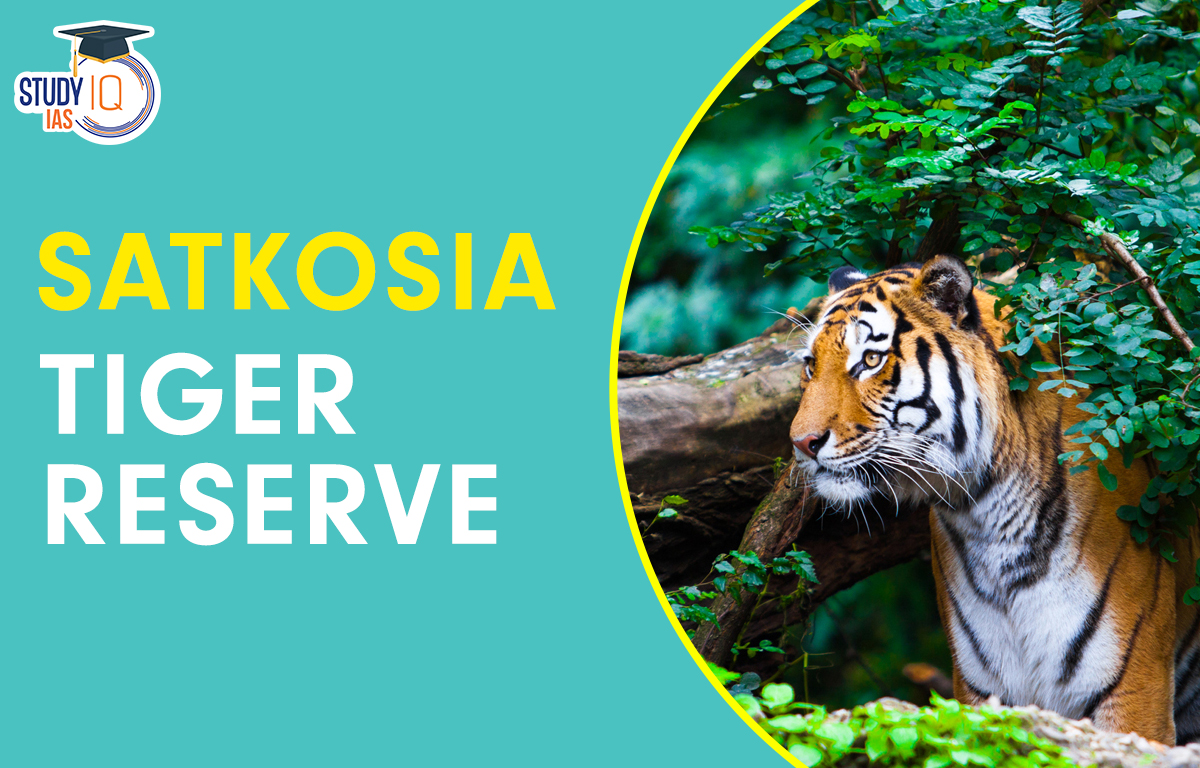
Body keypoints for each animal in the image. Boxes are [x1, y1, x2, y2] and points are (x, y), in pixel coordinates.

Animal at [788, 255, 1200, 745]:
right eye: (811, 365)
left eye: (870, 359)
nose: (801, 443)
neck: (987, 514)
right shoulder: (982, 688)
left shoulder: (1134, 687)